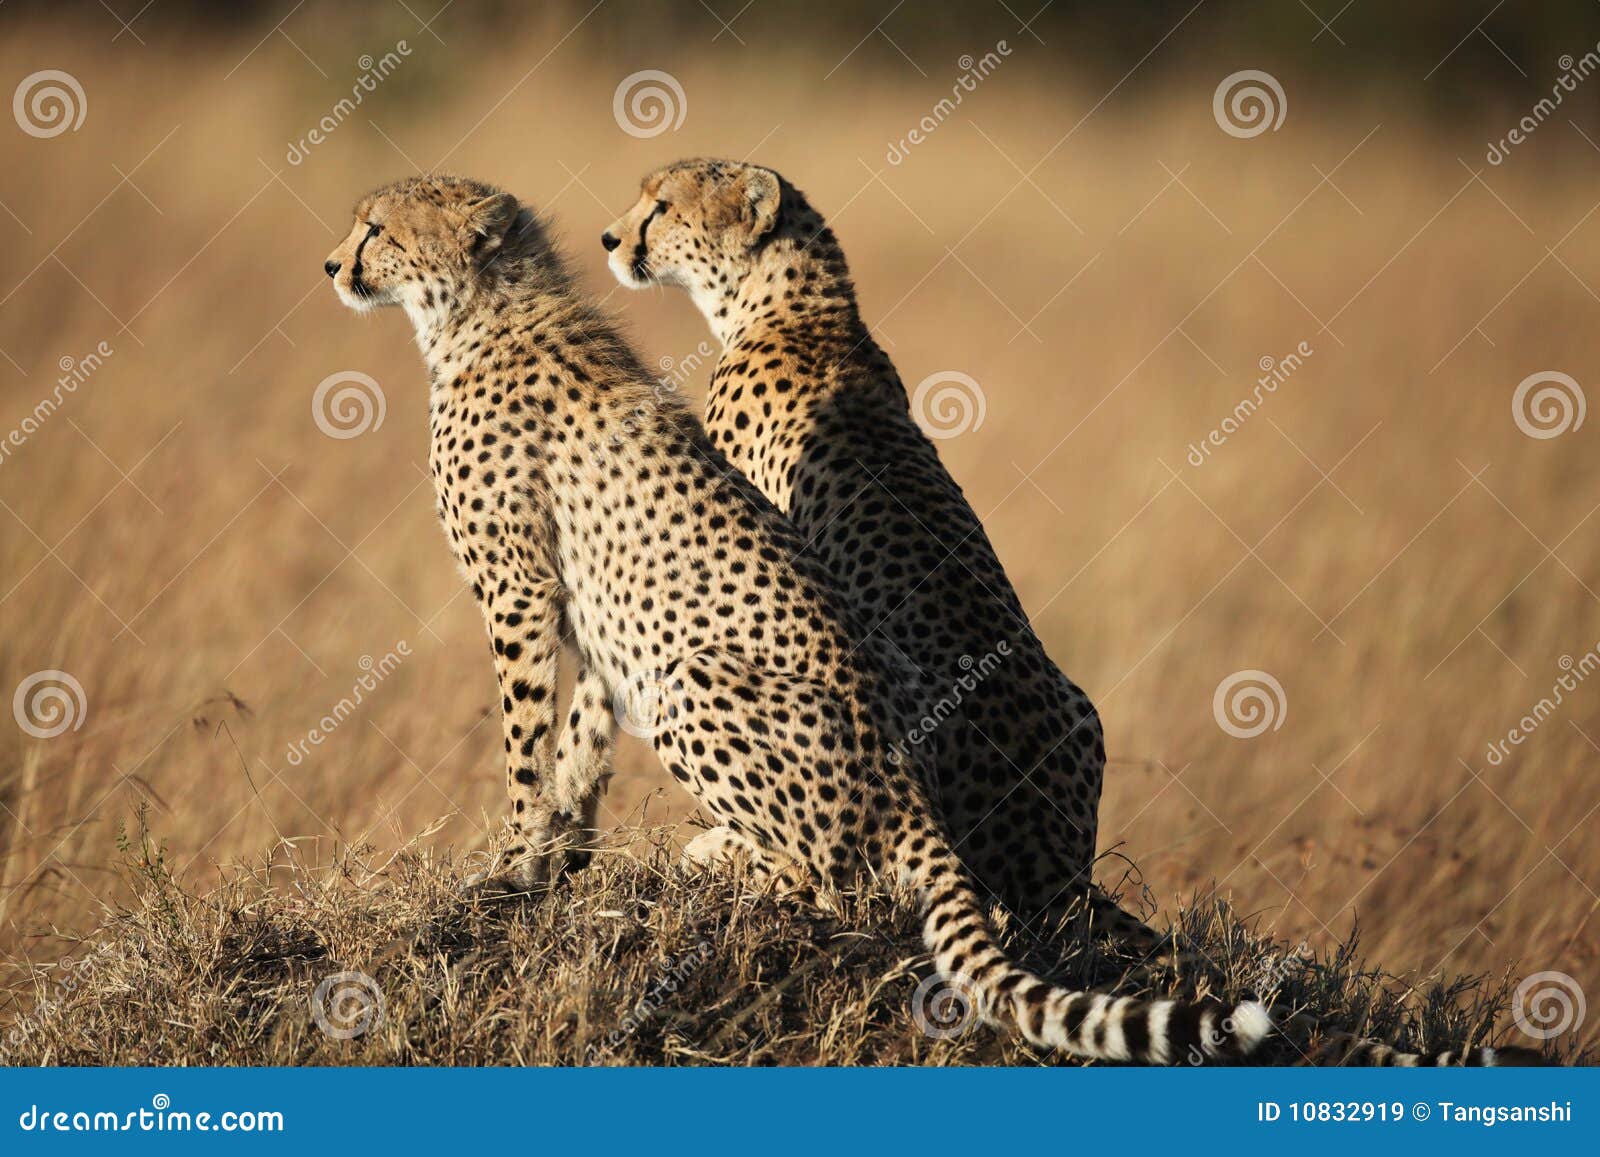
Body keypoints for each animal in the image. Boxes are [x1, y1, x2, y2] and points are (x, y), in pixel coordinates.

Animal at [321, 173, 1528, 1066]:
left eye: (377, 227)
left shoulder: (521, 595)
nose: (332, 264)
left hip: (707, 682)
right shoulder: (588, 618)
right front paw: (552, 856)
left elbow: (526, 737)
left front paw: (513, 861)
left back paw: (716, 862)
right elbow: (577, 734)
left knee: (834, 878)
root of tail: (912, 785)